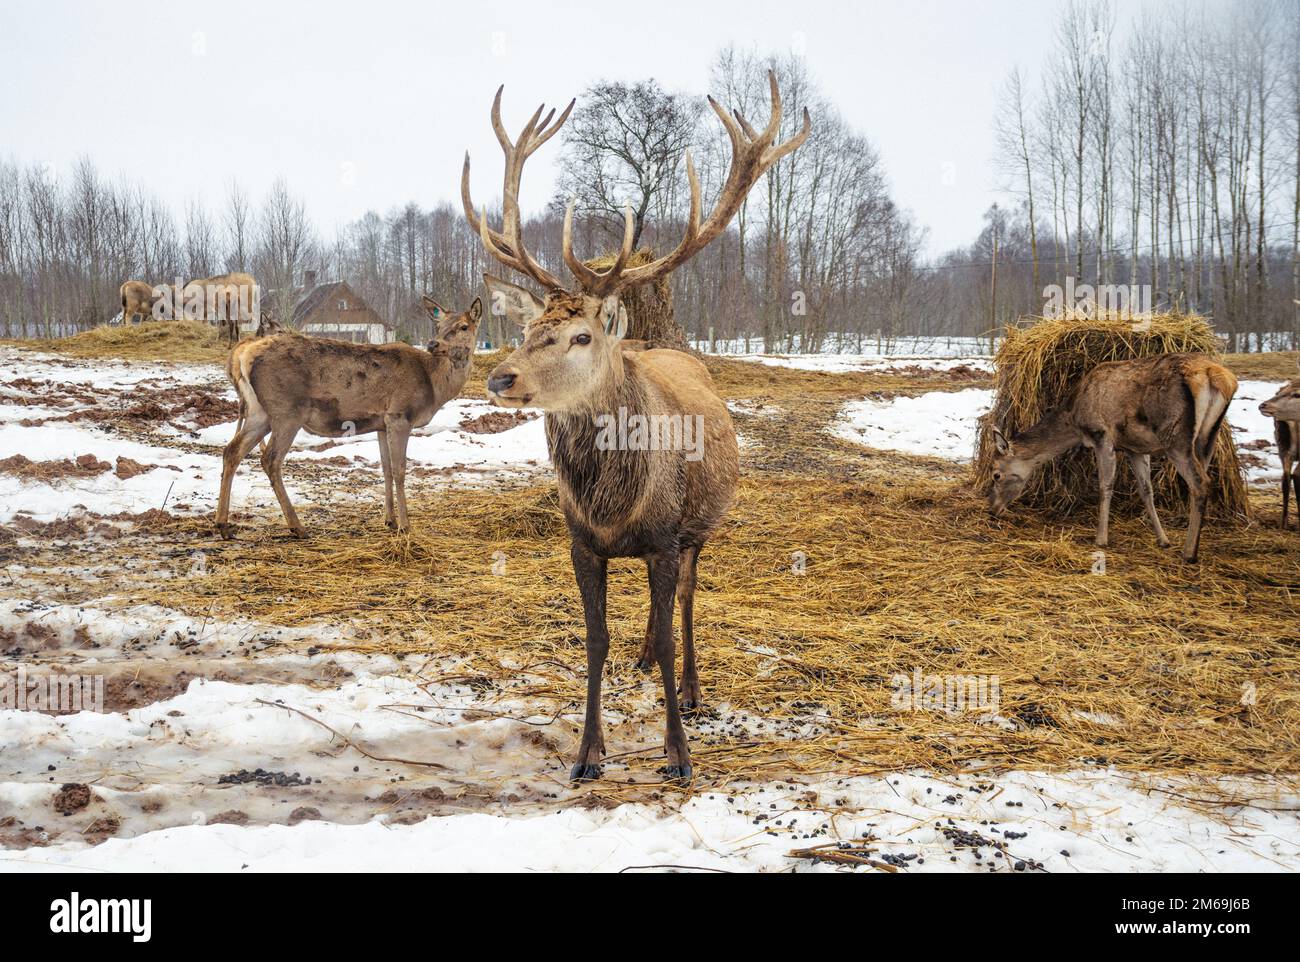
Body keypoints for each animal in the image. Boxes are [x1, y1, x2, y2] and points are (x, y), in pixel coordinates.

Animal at [215, 295, 482, 538]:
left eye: (463, 326)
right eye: (439, 325)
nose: (434, 343)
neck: (433, 386)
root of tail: (243, 356)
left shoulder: (382, 423)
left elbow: (385, 468)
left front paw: (390, 520)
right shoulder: (399, 415)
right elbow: (399, 470)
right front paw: (405, 526)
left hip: (259, 411)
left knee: (232, 450)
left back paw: (223, 525)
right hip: (287, 411)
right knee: (270, 459)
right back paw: (297, 527)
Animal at [464, 74, 809, 782]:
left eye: (581, 335)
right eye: (527, 328)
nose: (501, 377)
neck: (614, 506)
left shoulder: (667, 536)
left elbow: (672, 620)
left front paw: (678, 753)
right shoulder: (580, 542)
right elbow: (595, 640)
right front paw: (586, 752)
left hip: (701, 526)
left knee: (686, 601)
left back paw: (692, 687)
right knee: (658, 616)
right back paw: (646, 657)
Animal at [988, 352, 1238, 564]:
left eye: (996, 474)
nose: (991, 509)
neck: (1074, 418)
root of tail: (1221, 379)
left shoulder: (1102, 436)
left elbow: (1105, 486)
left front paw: (1101, 539)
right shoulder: (1135, 448)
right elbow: (1146, 490)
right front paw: (1163, 540)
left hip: (1176, 438)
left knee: (1200, 483)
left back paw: (1189, 553)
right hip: (1208, 439)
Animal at [1259, 375, 1300, 529]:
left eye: (1296, 394)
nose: (1262, 405)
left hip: (1282, 443)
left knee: (1286, 478)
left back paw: (1284, 523)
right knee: (1295, 475)